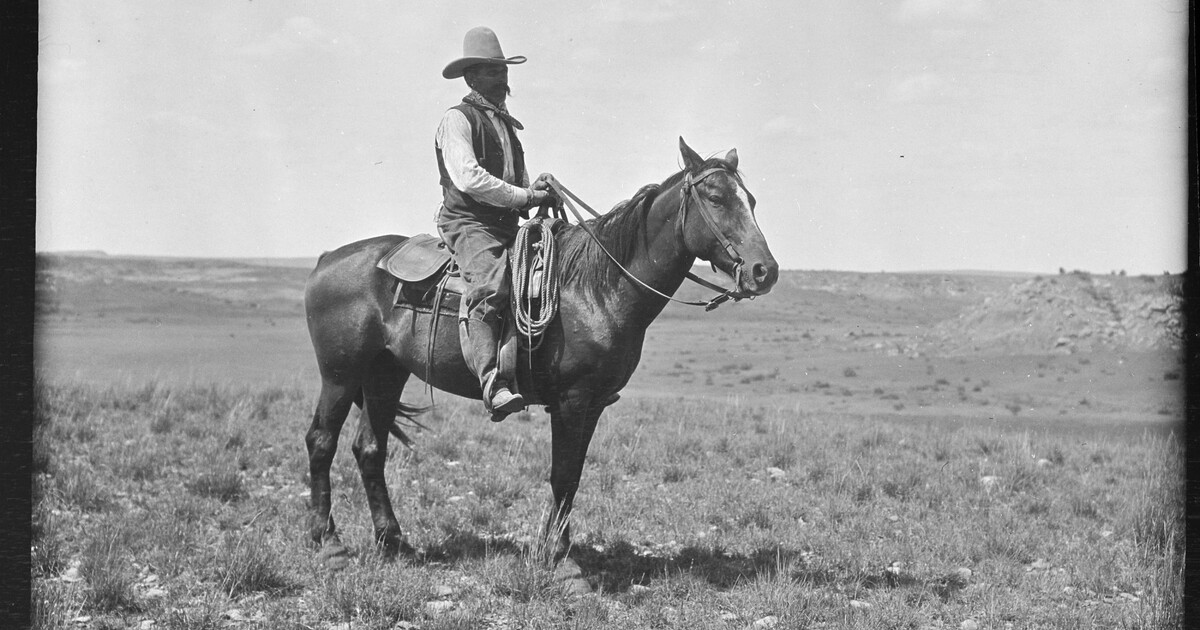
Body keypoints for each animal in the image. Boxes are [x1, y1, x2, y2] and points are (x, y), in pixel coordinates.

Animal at [303, 137, 778, 569]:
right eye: (715, 198)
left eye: (752, 200)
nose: (765, 271)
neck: (598, 287)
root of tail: (326, 259)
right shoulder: (570, 400)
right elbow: (563, 474)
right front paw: (563, 561)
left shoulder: (593, 403)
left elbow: (571, 475)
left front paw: (550, 551)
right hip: (340, 374)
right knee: (322, 442)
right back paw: (329, 543)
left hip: (385, 373)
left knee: (369, 448)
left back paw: (393, 541)